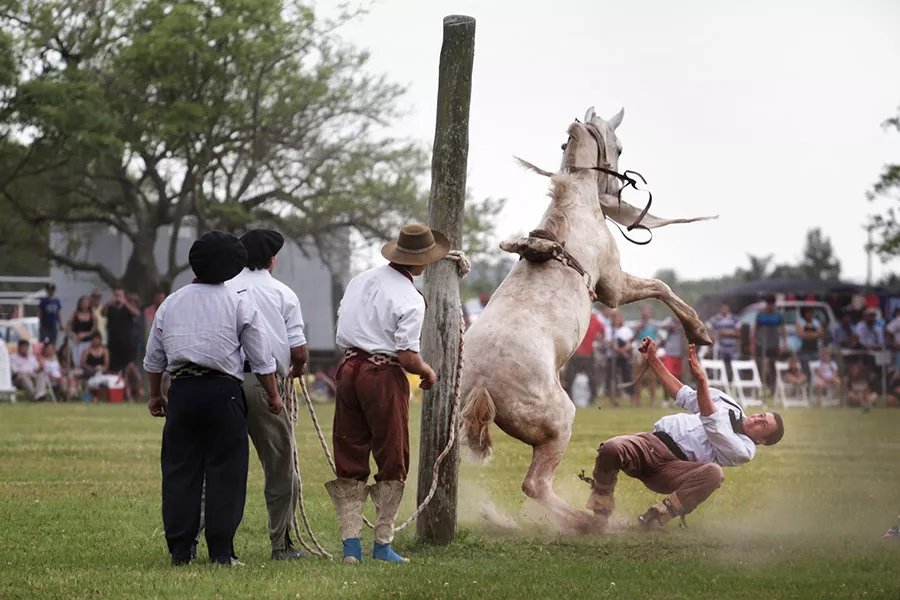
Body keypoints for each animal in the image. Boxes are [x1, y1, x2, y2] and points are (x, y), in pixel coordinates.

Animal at [460, 106, 712, 536]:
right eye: (619, 146)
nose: (616, 191)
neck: (575, 204)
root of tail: (481, 385)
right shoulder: (614, 287)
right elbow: (660, 287)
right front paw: (698, 329)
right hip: (560, 422)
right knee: (535, 484)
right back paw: (589, 521)